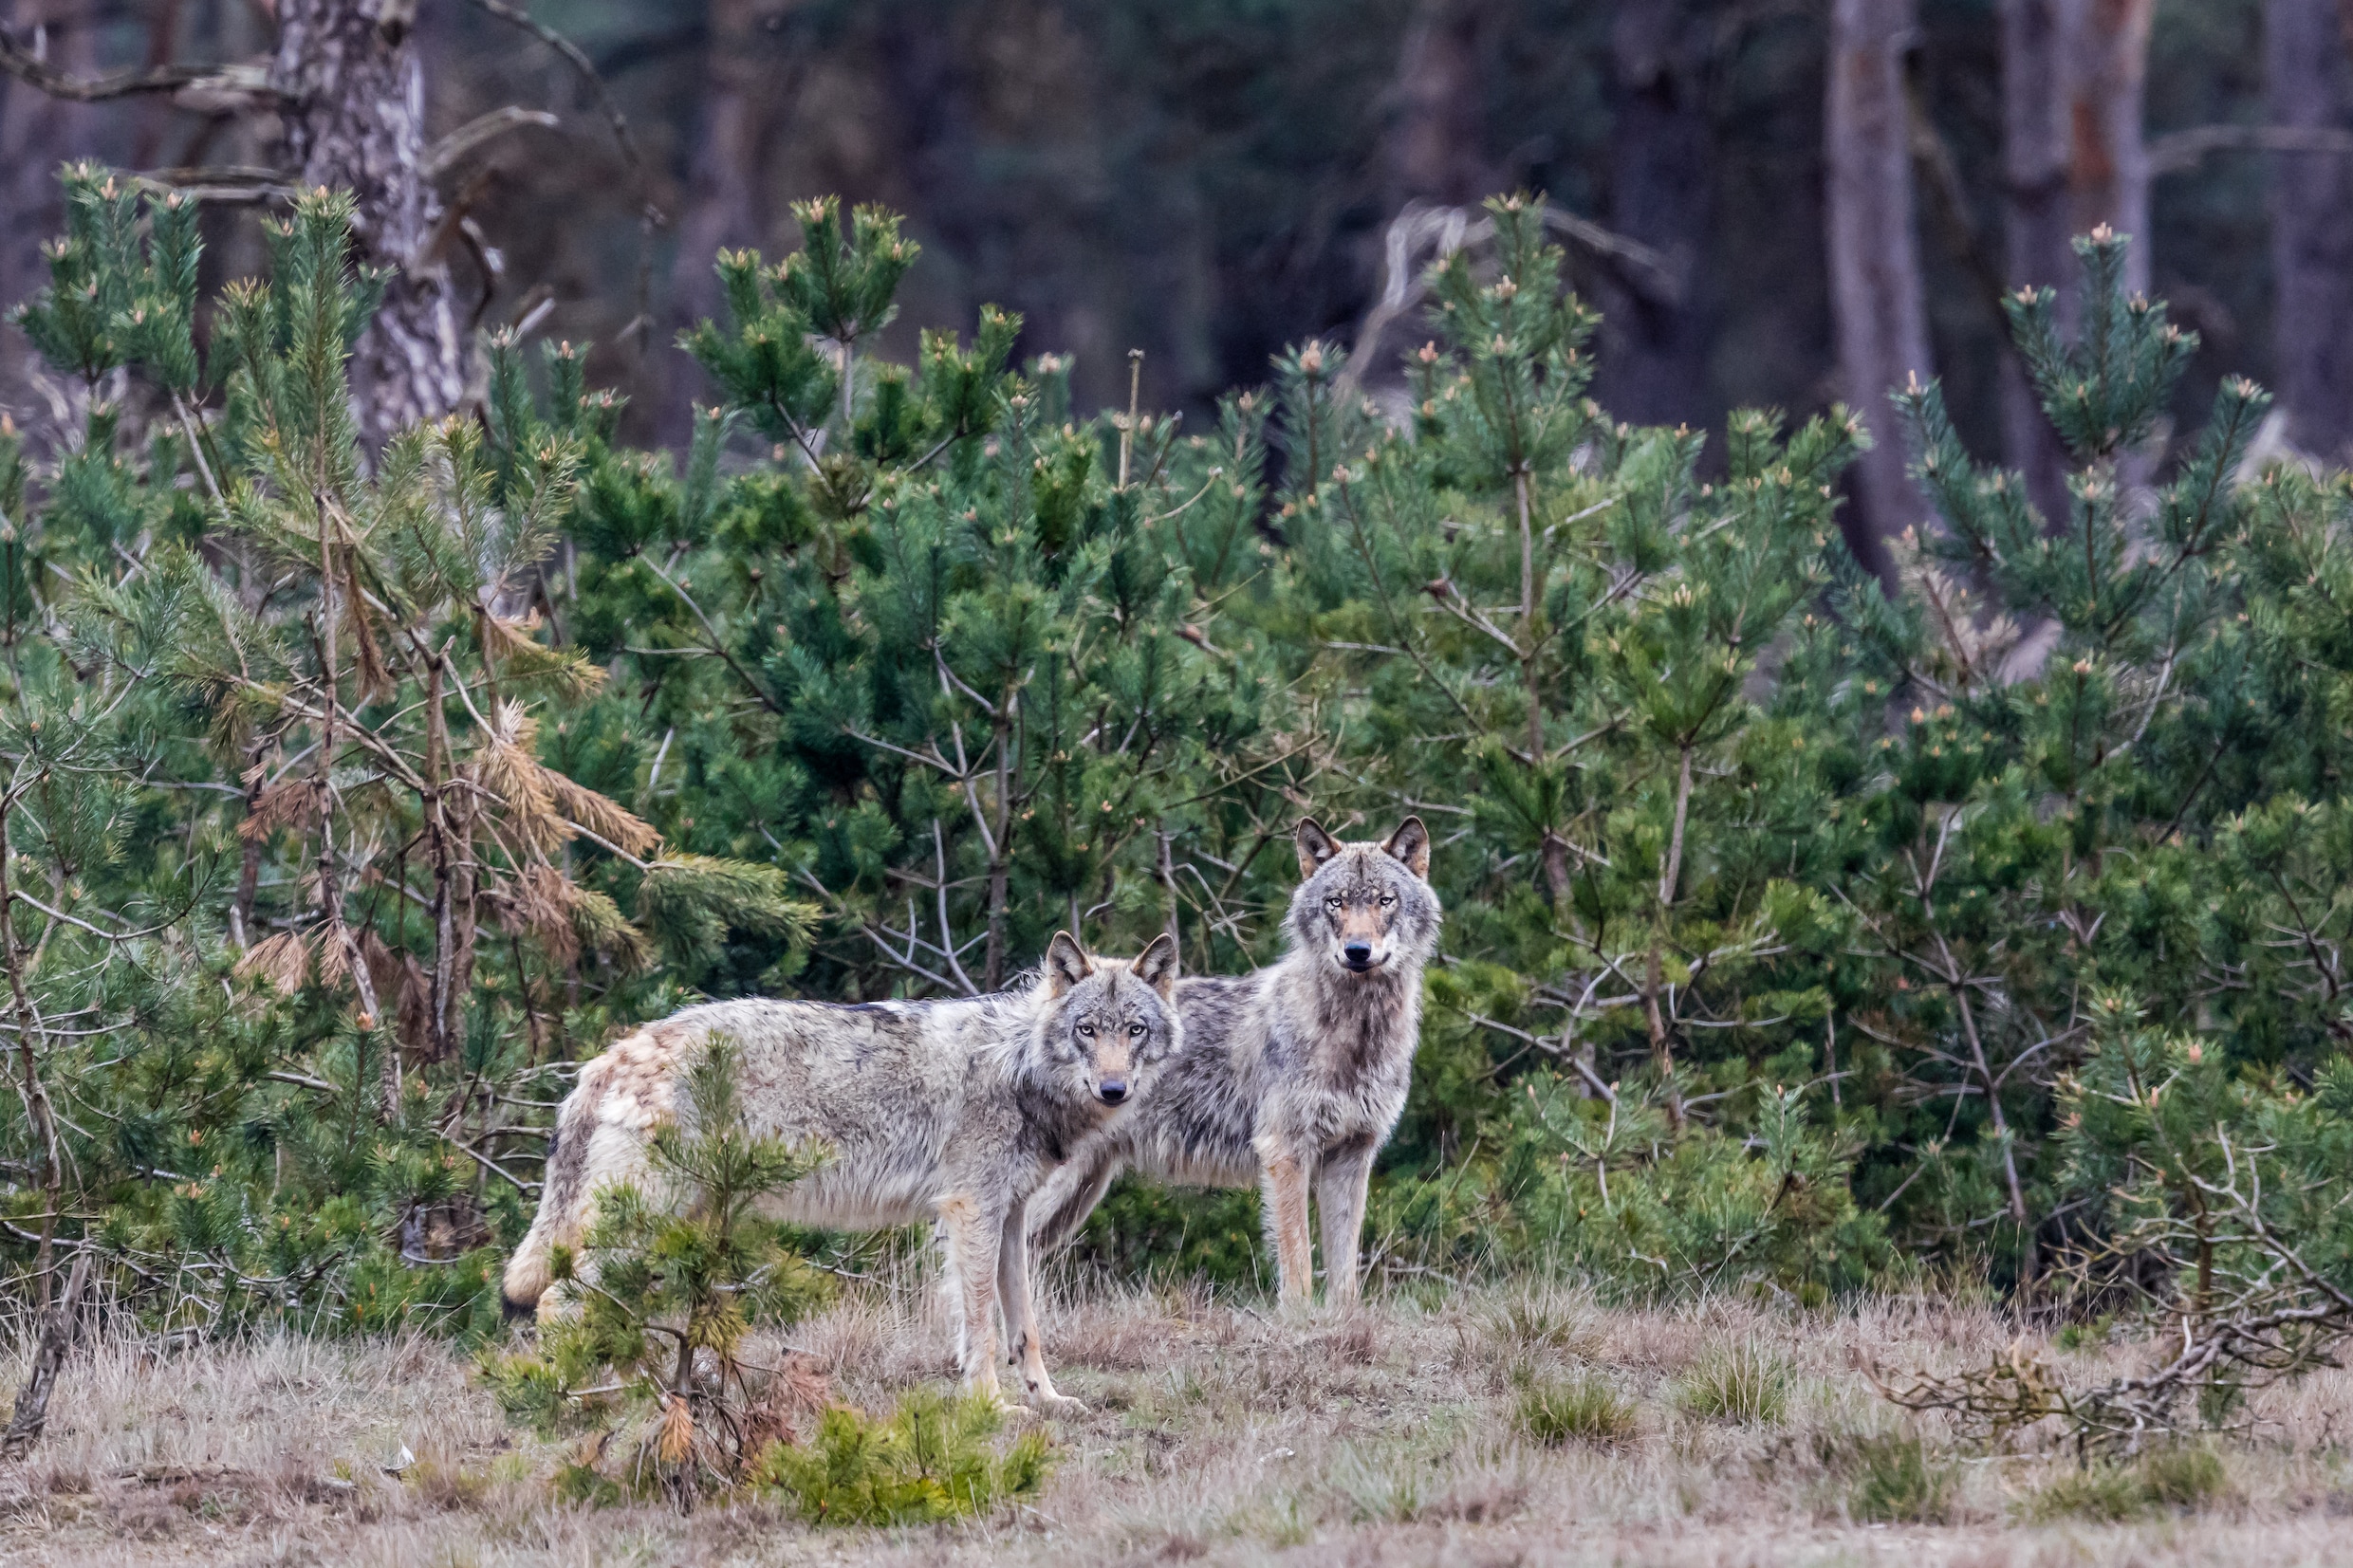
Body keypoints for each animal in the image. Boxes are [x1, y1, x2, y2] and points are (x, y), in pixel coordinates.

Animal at [501, 930, 1180, 1413]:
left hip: (670, 1227)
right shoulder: (971, 1212)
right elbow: (981, 1327)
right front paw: (990, 1406)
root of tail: (605, 1058)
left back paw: (647, 1392)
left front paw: (1049, 1401)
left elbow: (1025, 1328)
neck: (1018, 1065)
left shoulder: (1009, 1216)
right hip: (645, 1223)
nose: (1114, 1090)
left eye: (1134, 1030)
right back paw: (599, 1397)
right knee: (561, 1302)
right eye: (1087, 1030)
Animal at [1028, 817, 1439, 1309]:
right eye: (1336, 902)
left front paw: (1342, 1321)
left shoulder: (1352, 1157)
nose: (1357, 951)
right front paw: (1299, 1320)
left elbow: (1345, 1274)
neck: (1356, 1034)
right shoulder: (1285, 1152)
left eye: (1384, 900)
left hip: (1079, 1192)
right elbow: (1298, 1262)